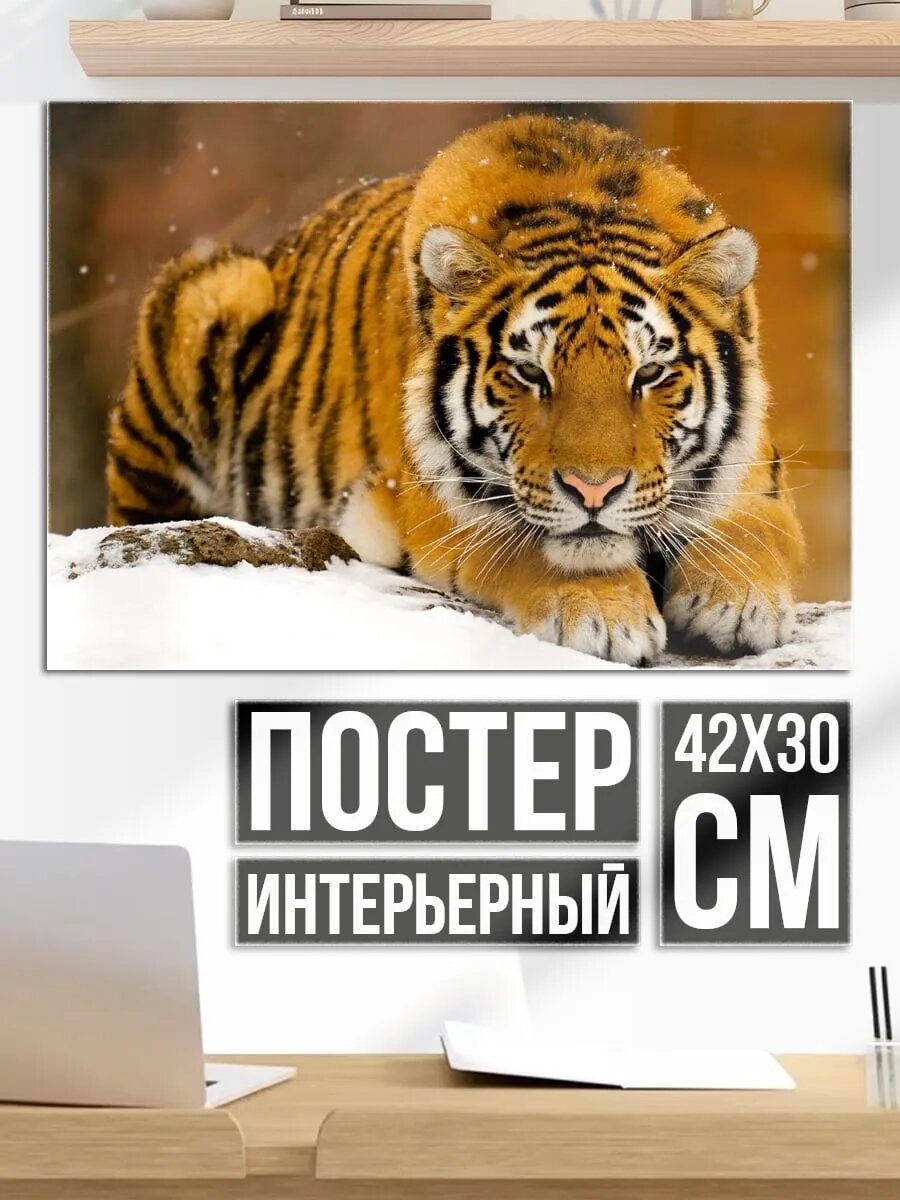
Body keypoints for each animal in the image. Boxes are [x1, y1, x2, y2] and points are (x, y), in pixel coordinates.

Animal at [106, 113, 805, 666]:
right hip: (215, 293)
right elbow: (531, 542)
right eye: (531, 373)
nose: (594, 491)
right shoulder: (431, 497)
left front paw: (738, 602)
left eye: (649, 373)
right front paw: (602, 614)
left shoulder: (755, 470)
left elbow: (757, 527)